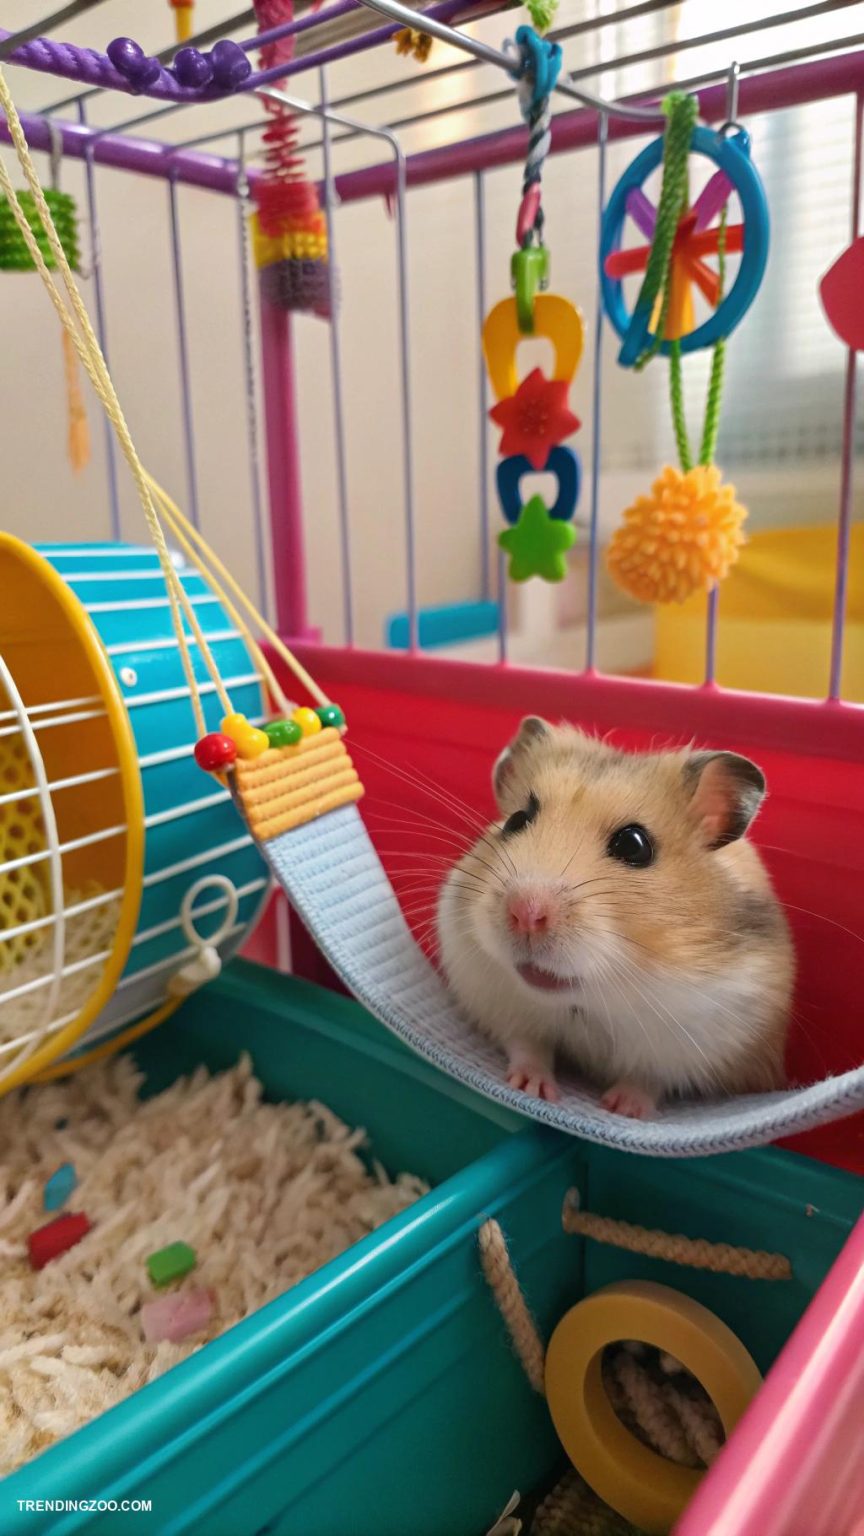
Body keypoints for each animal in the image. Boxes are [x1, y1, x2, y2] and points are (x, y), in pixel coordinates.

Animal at [437, 717, 794, 1118]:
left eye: (634, 846)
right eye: (516, 820)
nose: (525, 912)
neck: (588, 1001)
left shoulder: (697, 1041)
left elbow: (649, 1078)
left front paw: (619, 1109)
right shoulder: (500, 1004)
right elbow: (528, 1046)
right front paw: (533, 1089)